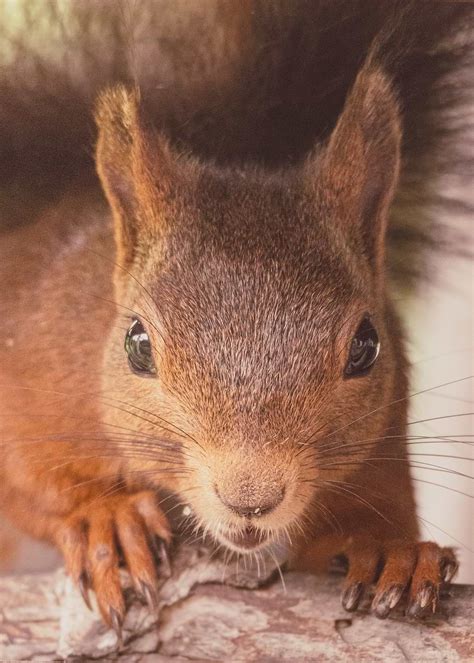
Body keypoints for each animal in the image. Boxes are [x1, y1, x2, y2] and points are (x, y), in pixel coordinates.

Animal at [0, 0, 472, 636]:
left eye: (366, 346)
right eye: (137, 344)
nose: (250, 498)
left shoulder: (382, 439)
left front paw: (387, 548)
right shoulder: (32, 358)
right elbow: (26, 478)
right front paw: (104, 516)